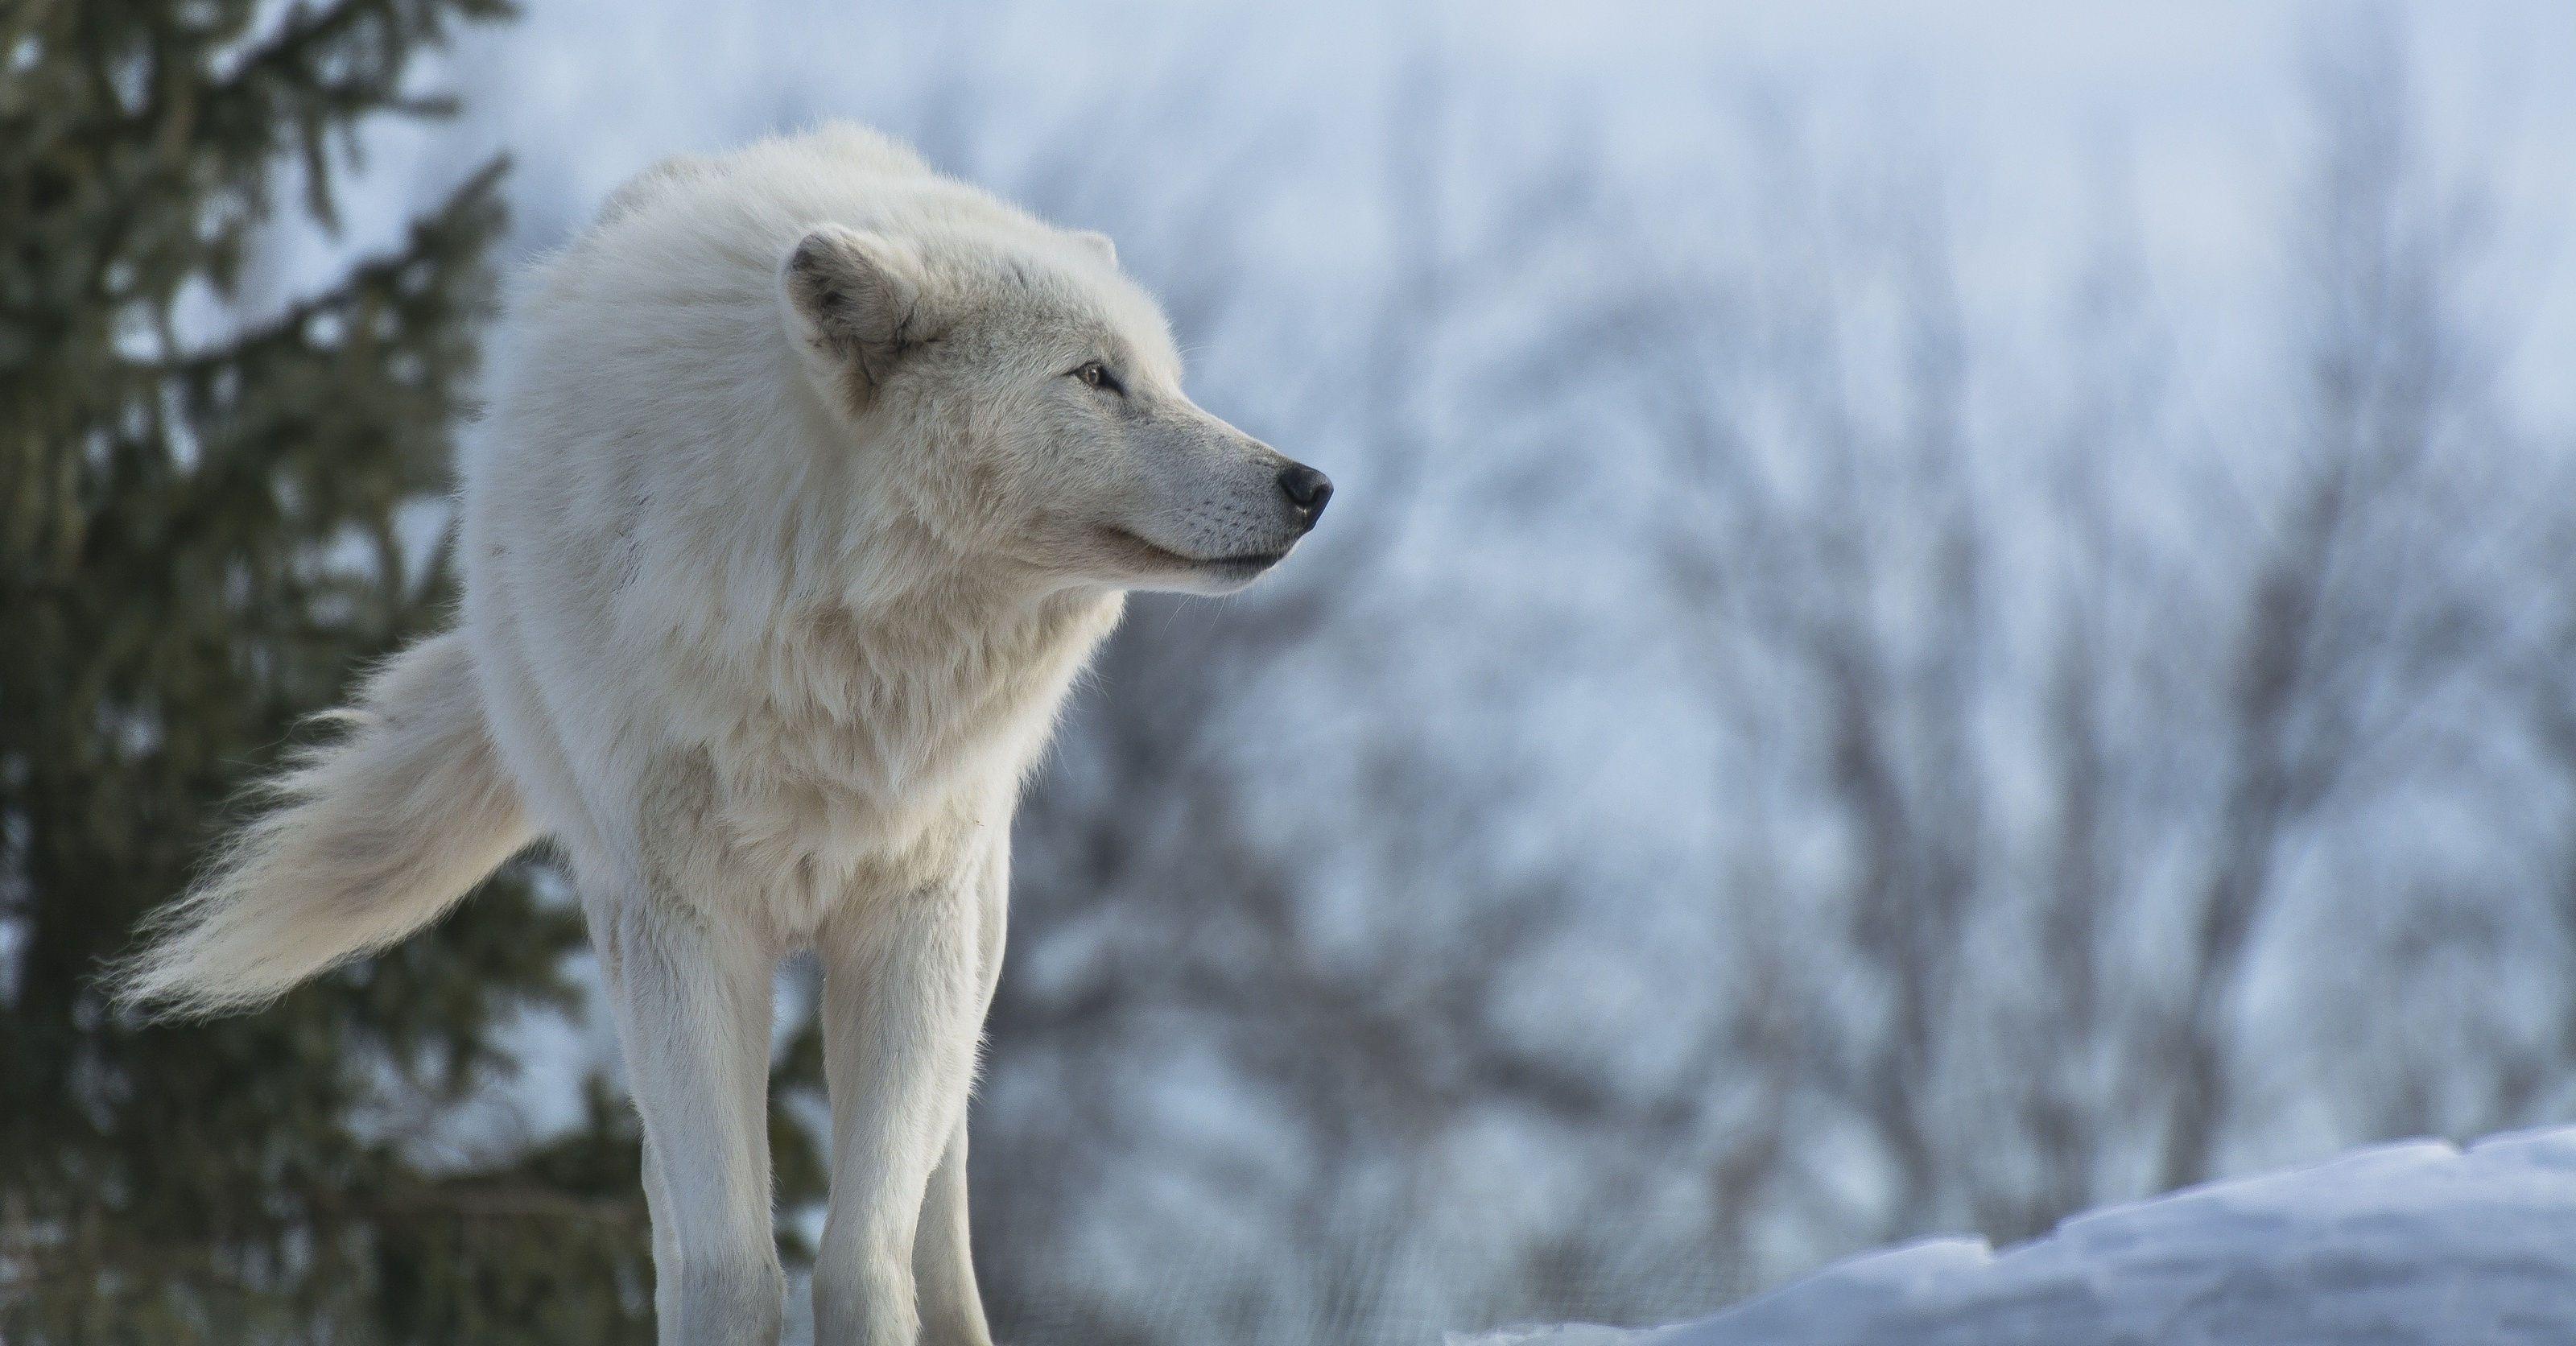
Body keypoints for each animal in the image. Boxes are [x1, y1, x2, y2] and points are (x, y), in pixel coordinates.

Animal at [113, 124, 1331, 1345]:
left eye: (1162, 377)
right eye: (1095, 377)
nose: (1310, 484)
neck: (837, 638)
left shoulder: (911, 921)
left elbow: (866, 1257)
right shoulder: (682, 926)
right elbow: (730, 1263)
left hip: (971, 931)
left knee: (941, 1182)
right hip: (630, 948)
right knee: (670, 1195)